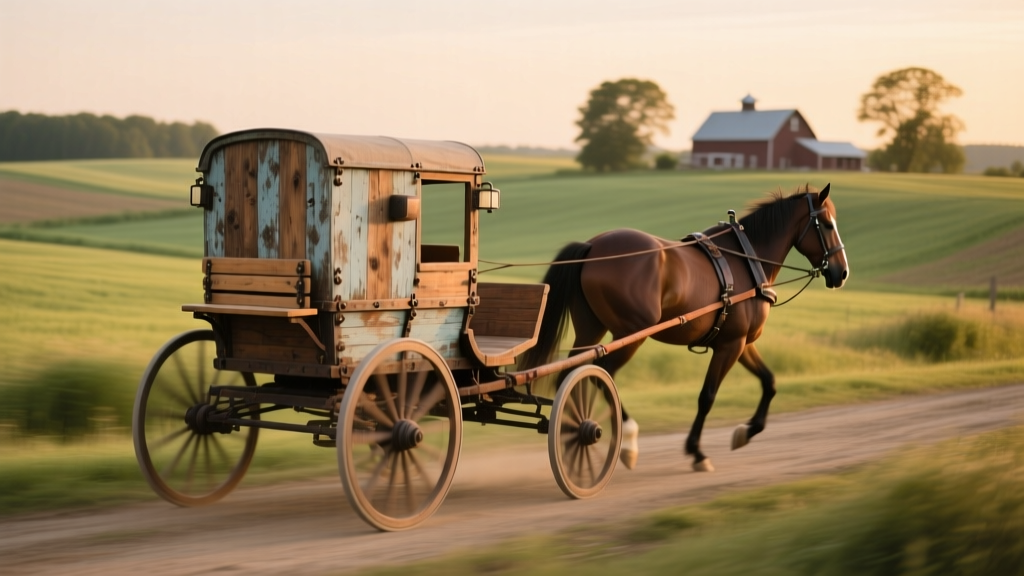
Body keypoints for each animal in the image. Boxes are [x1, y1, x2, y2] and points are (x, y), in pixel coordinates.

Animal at [523, 184, 849, 472]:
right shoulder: (730, 346)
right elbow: (707, 397)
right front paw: (697, 452)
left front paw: (745, 432)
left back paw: (572, 432)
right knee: (603, 375)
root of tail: (593, 246)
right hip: (630, 335)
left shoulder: (740, 343)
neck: (748, 260)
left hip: (591, 330)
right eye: (827, 224)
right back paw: (626, 440)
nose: (842, 272)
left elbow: (769, 382)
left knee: (571, 375)